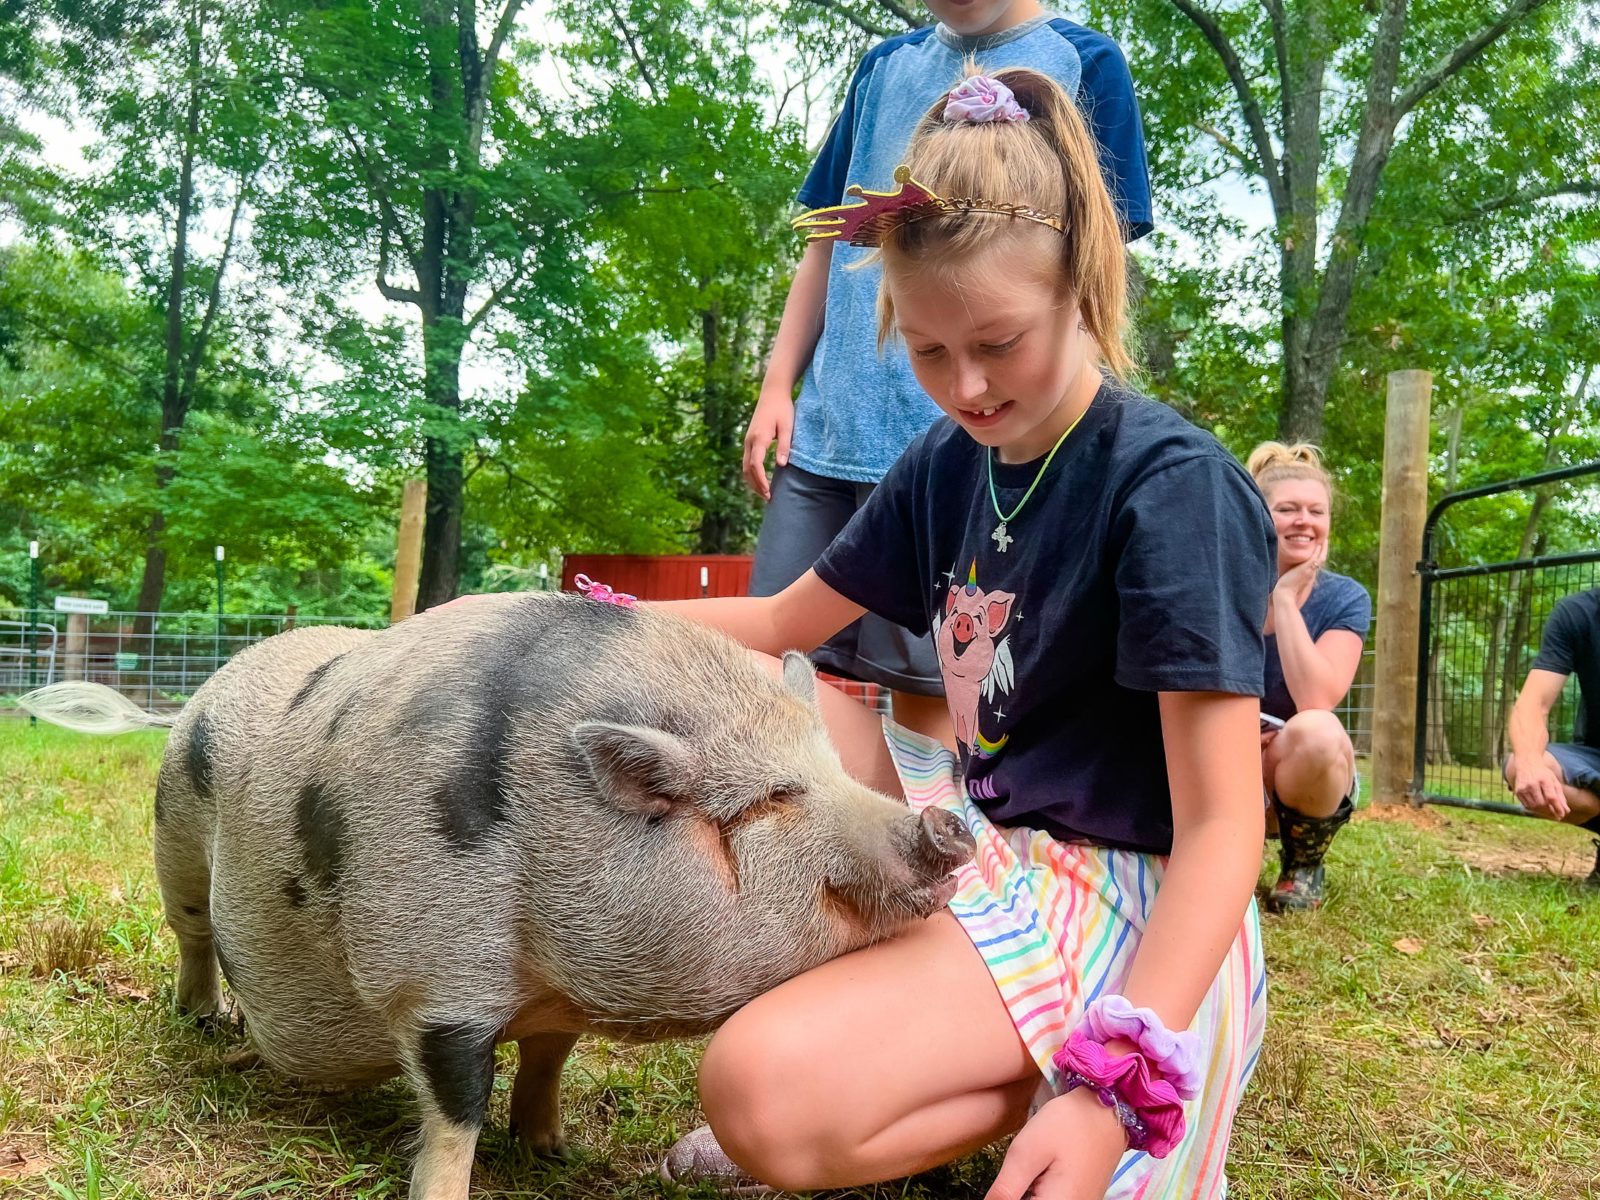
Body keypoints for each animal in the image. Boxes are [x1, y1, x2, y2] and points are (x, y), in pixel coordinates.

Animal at [21, 592, 974, 1200]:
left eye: (836, 771)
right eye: (774, 798)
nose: (948, 826)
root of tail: (202, 688)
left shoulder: (559, 999)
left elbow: (550, 1061)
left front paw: (554, 1152)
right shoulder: (433, 979)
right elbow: (455, 1109)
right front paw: (451, 1189)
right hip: (173, 838)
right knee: (190, 936)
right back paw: (202, 1024)